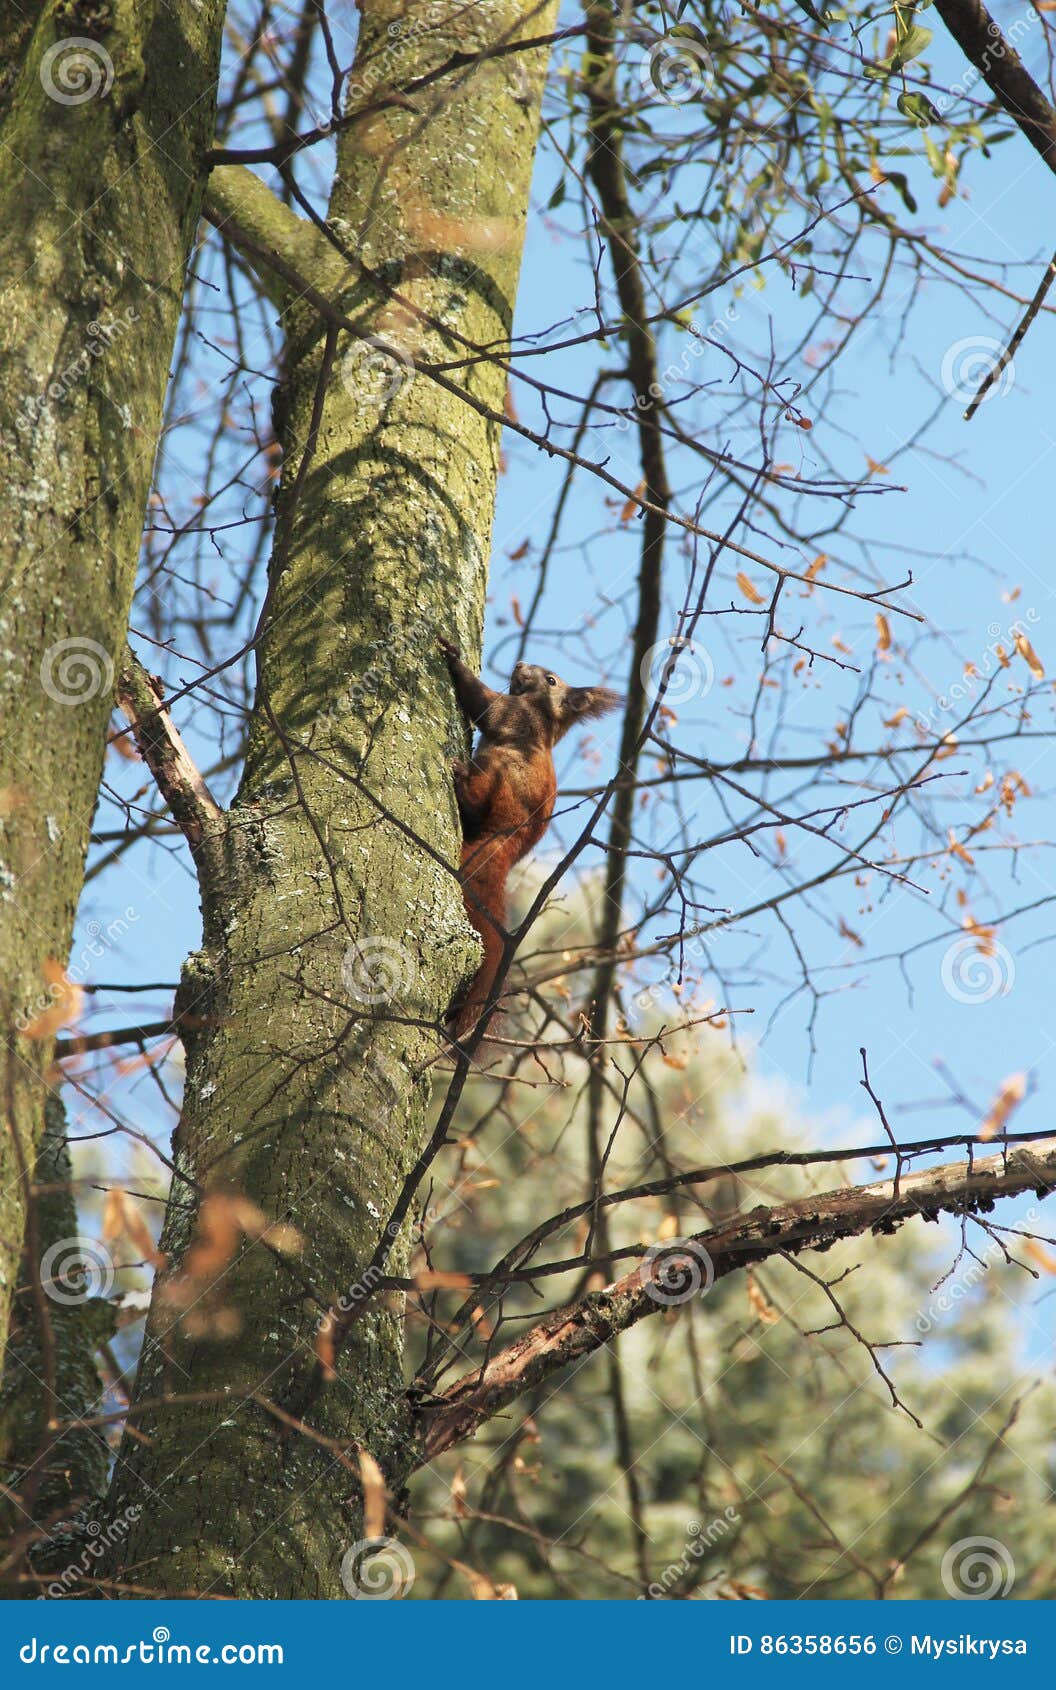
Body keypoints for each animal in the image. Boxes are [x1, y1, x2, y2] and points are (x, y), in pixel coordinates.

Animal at [439, 639, 621, 1039]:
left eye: (551, 679)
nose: (521, 664)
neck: (547, 722)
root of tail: (505, 845)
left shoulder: (514, 714)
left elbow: (484, 703)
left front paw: (452, 657)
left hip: (497, 778)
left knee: (477, 800)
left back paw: (461, 779)